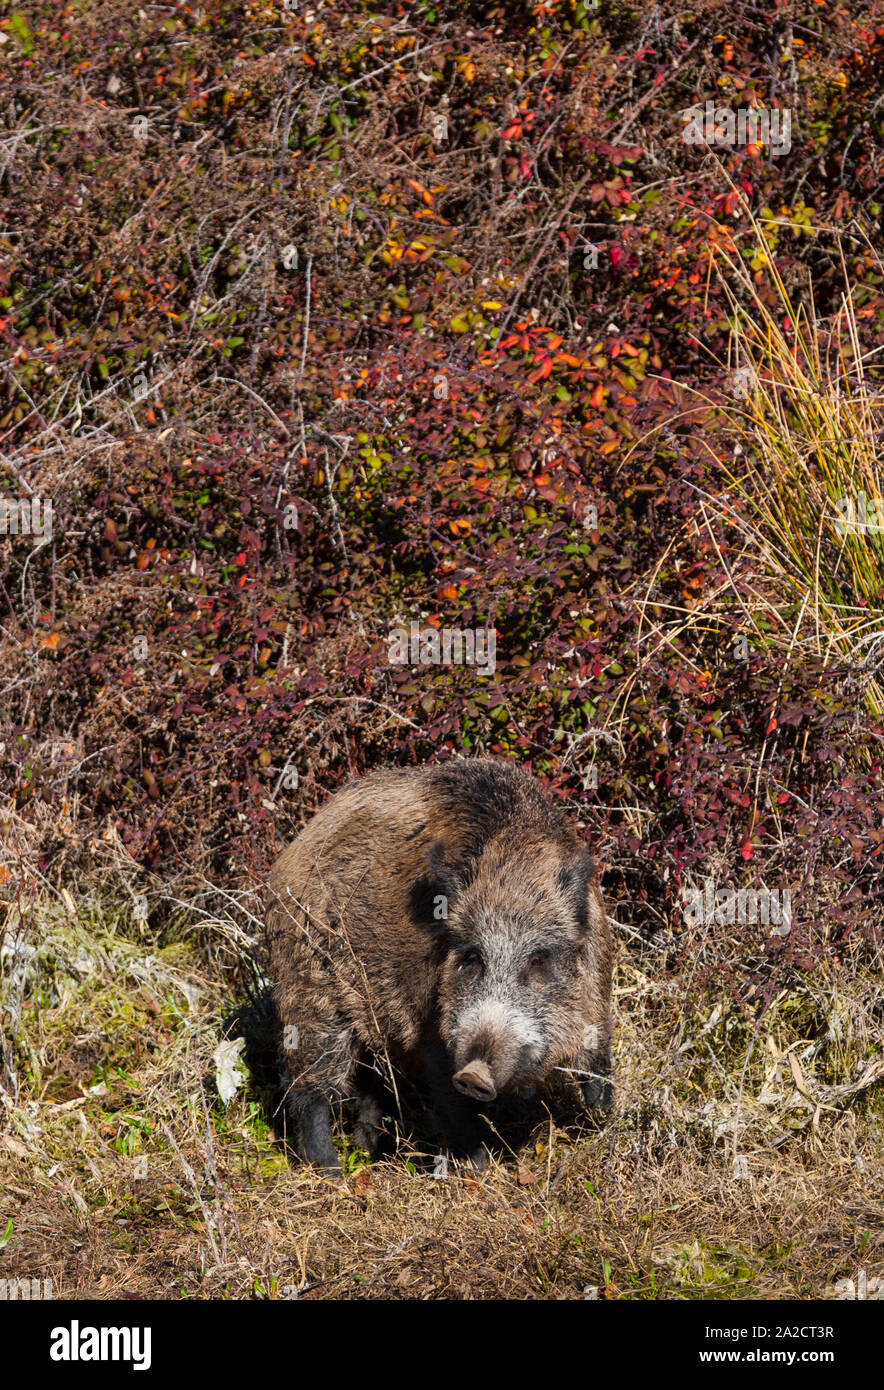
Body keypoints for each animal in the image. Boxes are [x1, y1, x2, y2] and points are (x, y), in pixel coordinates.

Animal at [265, 758, 612, 1173]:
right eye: (472, 956)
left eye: (539, 959)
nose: (474, 1075)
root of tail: (296, 845)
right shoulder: (435, 1034)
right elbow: (455, 1107)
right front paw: (481, 1171)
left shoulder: (599, 999)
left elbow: (598, 1070)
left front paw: (604, 1127)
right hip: (308, 984)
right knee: (312, 1086)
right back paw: (333, 1174)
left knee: (371, 1086)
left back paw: (370, 1150)